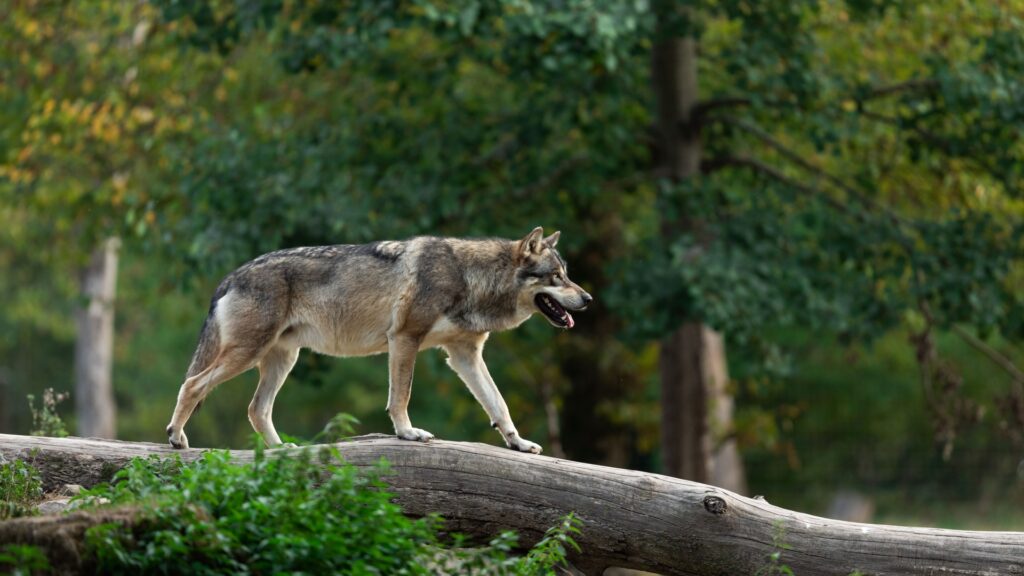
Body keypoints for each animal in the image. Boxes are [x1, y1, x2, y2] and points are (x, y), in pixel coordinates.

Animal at [166, 227, 592, 454]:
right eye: (556, 277)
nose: (588, 299)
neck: (472, 278)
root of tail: (230, 276)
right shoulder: (404, 339)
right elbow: (400, 396)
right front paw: (408, 433)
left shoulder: (465, 356)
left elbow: (499, 405)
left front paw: (519, 444)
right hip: (247, 354)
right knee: (191, 384)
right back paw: (177, 438)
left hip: (283, 360)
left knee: (256, 409)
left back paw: (281, 450)